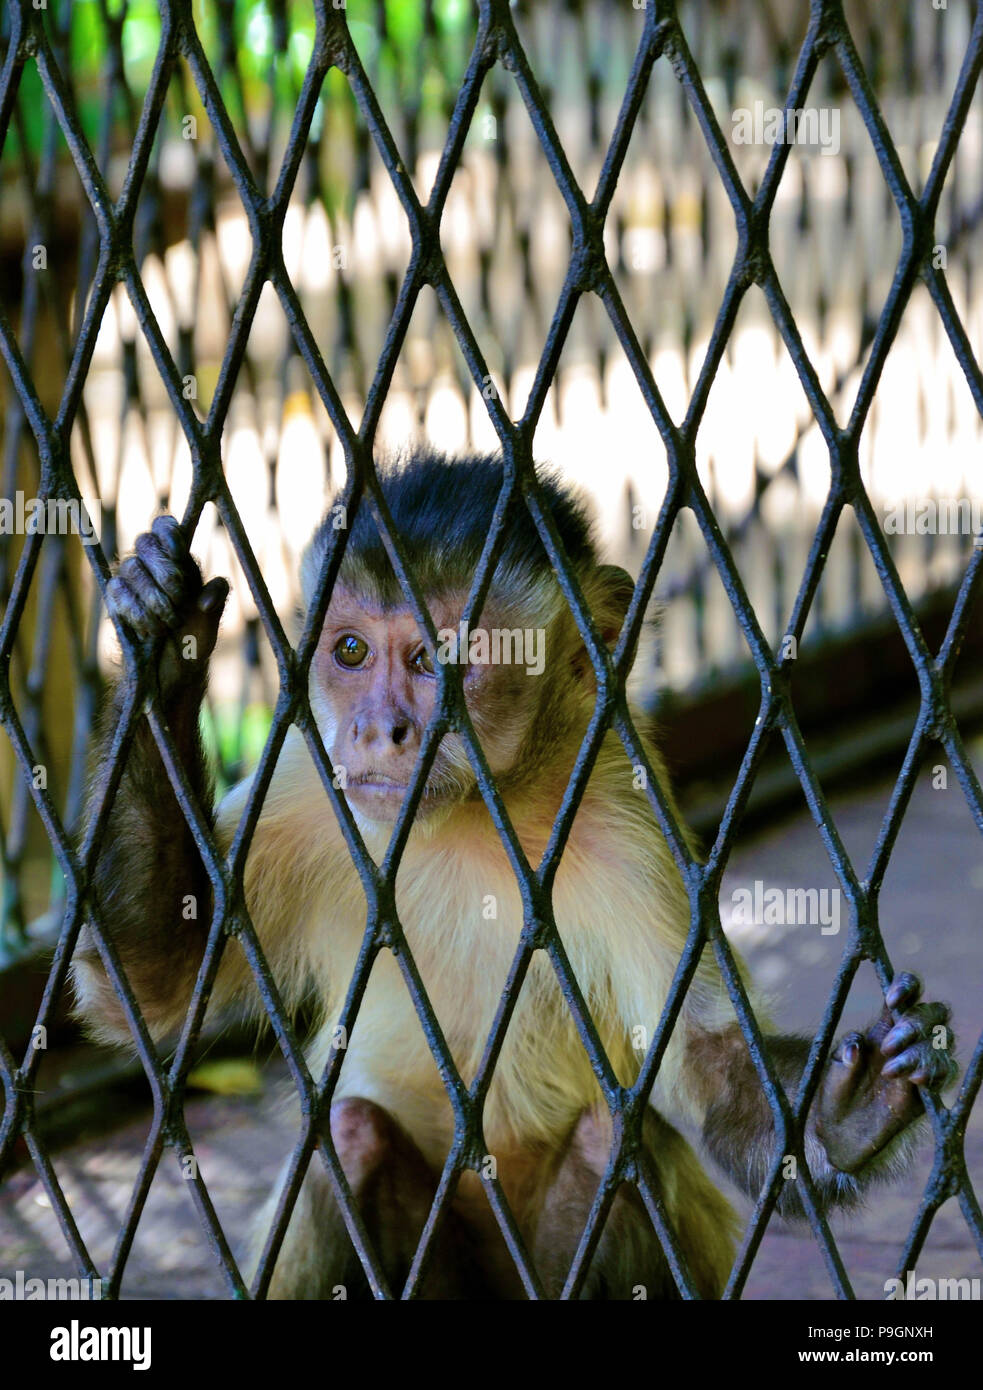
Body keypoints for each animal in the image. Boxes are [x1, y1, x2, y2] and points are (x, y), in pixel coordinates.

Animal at [72, 450, 957, 1299]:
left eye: (435, 659)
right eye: (350, 651)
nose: (378, 729)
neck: (469, 812)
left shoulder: (621, 822)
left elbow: (711, 1067)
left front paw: (850, 1111)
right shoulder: (308, 784)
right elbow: (157, 981)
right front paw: (164, 648)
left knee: (609, 1147)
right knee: (346, 1138)